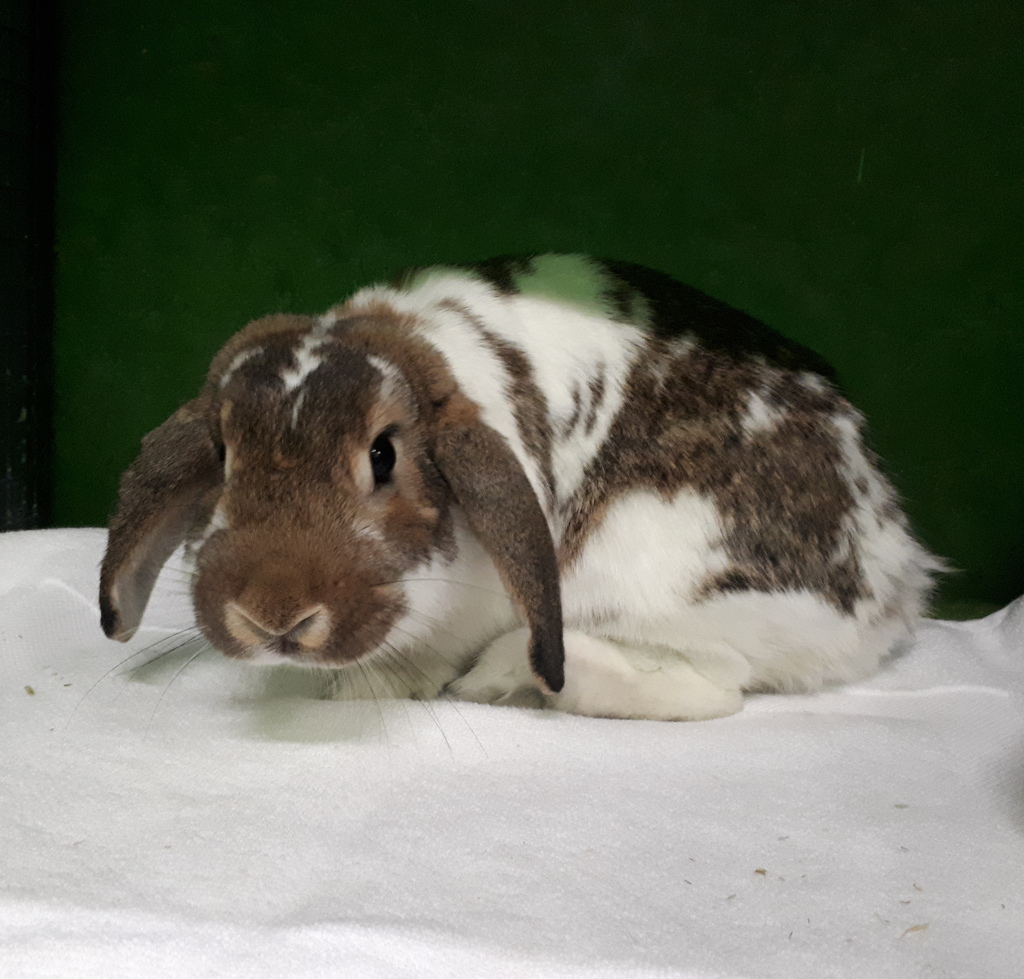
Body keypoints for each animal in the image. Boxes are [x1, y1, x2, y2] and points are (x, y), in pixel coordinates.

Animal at [99, 254, 941, 721]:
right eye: (222, 454)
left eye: (383, 455)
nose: (273, 616)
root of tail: (895, 576)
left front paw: (371, 690)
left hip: (650, 567)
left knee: (712, 687)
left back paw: (510, 679)